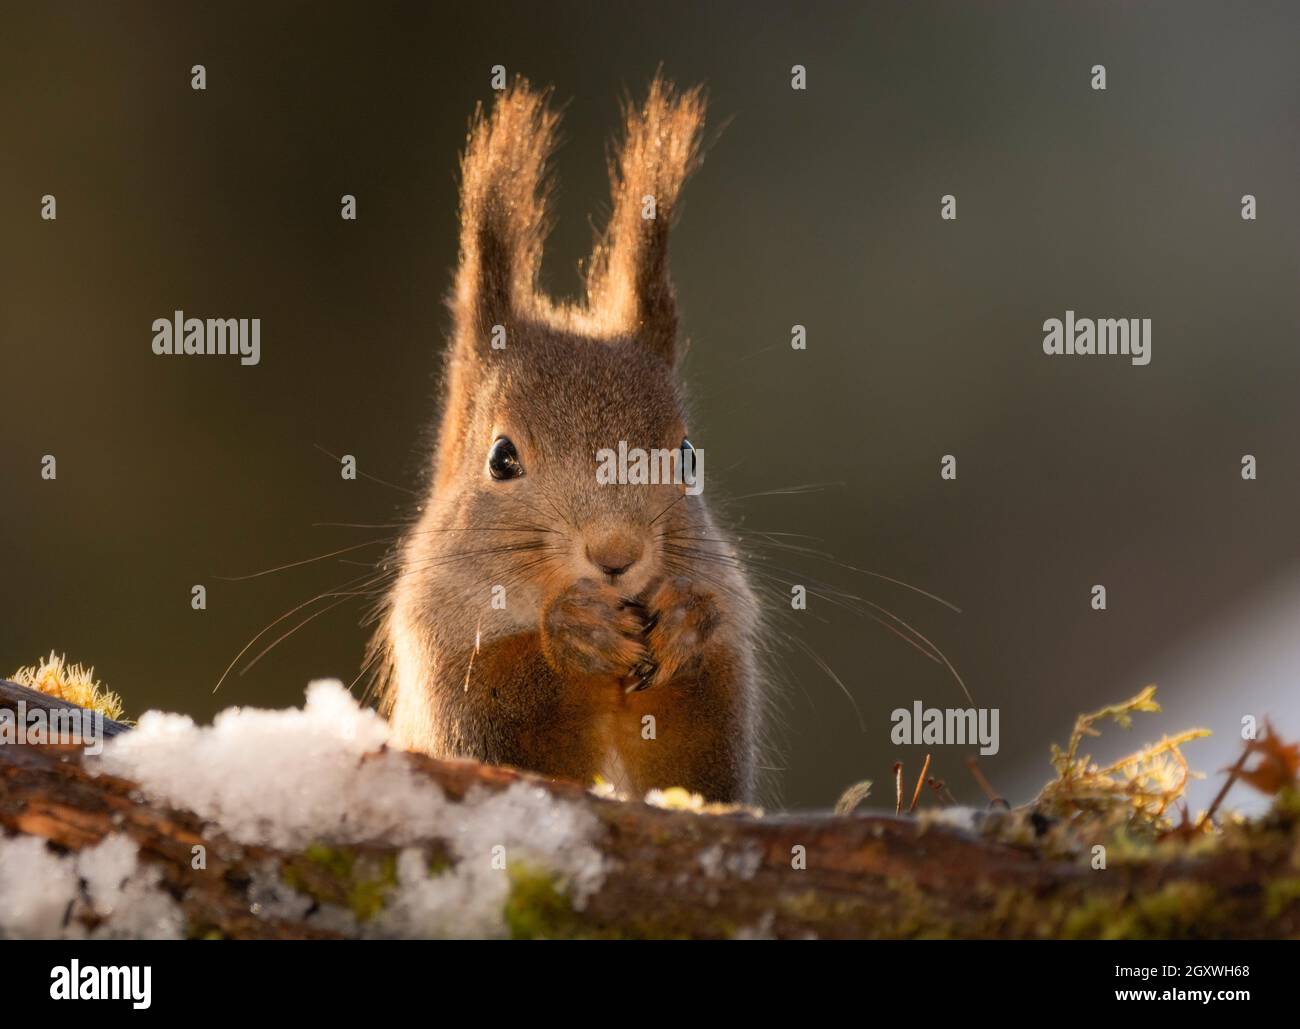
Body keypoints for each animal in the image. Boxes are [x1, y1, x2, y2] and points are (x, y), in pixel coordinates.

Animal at [371, 76, 763, 803]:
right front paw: (573, 629)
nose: (616, 554)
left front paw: (689, 620)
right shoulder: (447, 660)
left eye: (688, 457)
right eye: (501, 458)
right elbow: (506, 717)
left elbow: (695, 765)